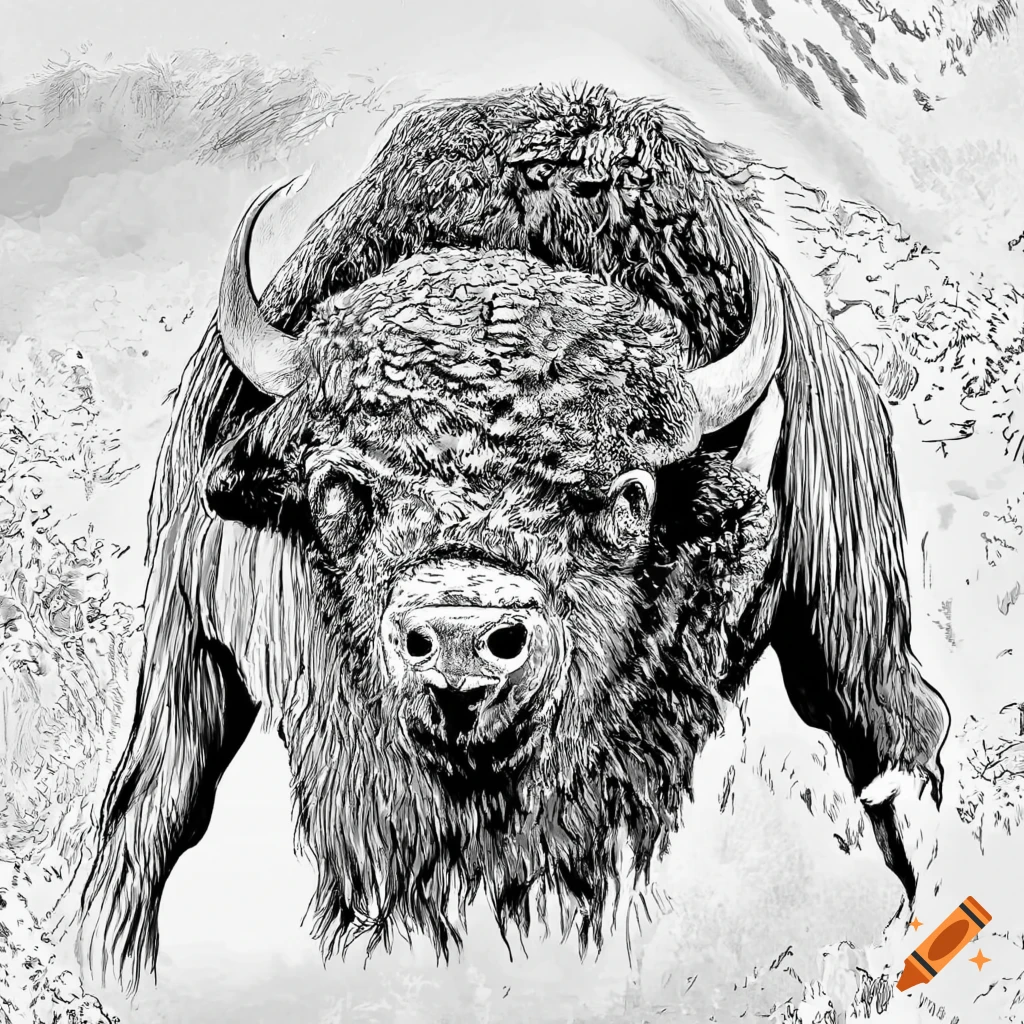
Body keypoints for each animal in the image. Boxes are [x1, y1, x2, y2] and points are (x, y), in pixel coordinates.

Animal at [78, 83, 950, 992]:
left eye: (630, 498)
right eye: (336, 489)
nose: (462, 639)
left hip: (850, 627)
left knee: (896, 736)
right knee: (153, 807)